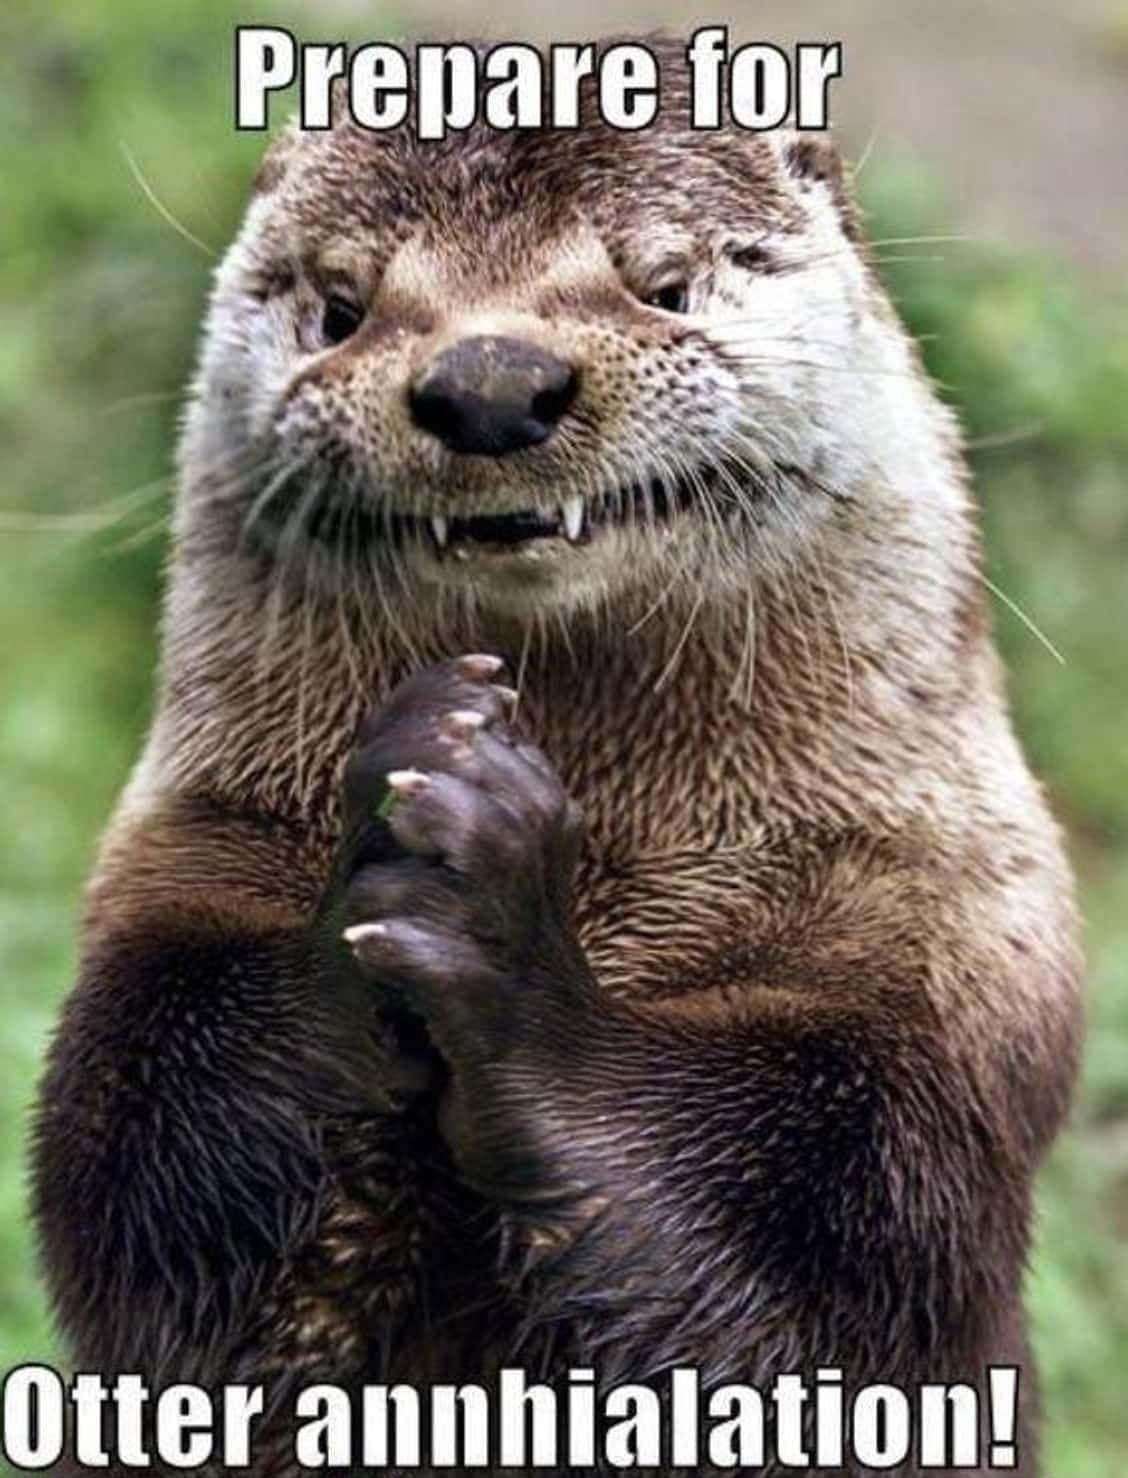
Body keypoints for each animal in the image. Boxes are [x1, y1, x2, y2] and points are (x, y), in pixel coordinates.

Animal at [32, 37, 1081, 1477]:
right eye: (340, 305)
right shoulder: (180, 878)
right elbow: (157, 1188)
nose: (489, 382)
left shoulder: (945, 961)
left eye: (664, 282)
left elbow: (835, 1275)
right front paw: (409, 788)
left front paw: (516, 956)